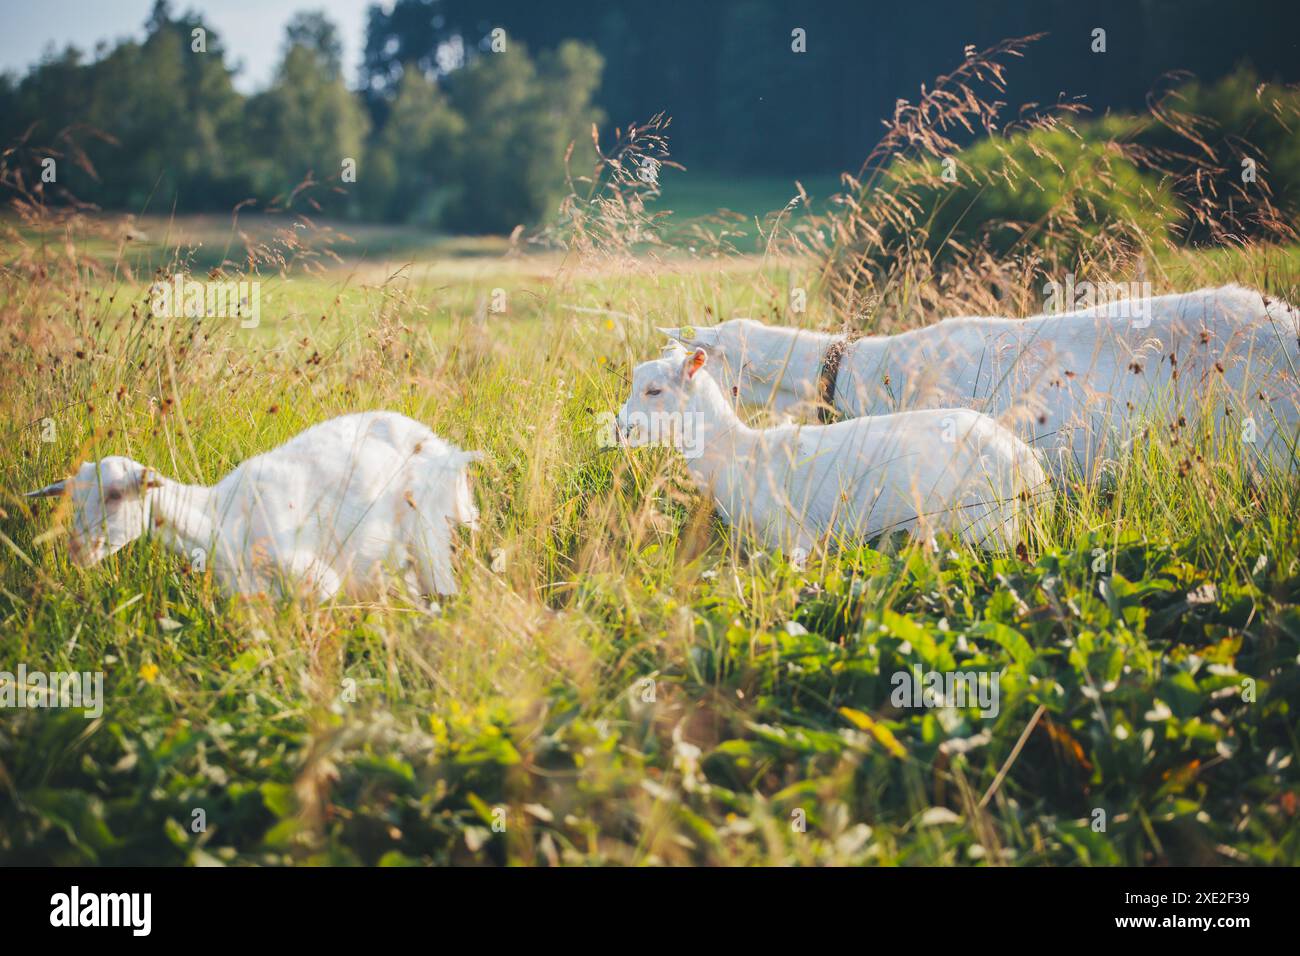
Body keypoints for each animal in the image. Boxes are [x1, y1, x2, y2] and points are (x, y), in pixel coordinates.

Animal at [26, 411, 482, 601]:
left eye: (117, 494)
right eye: (71, 500)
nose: (79, 551)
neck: (217, 514)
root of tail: (441, 445)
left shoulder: (312, 578)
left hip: (428, 529)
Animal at [616, 345, 1047, 553]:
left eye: (654, 391)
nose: (620, 427)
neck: (737, 450)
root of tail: (1027, 463)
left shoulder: (795, 537)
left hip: (988, 521)